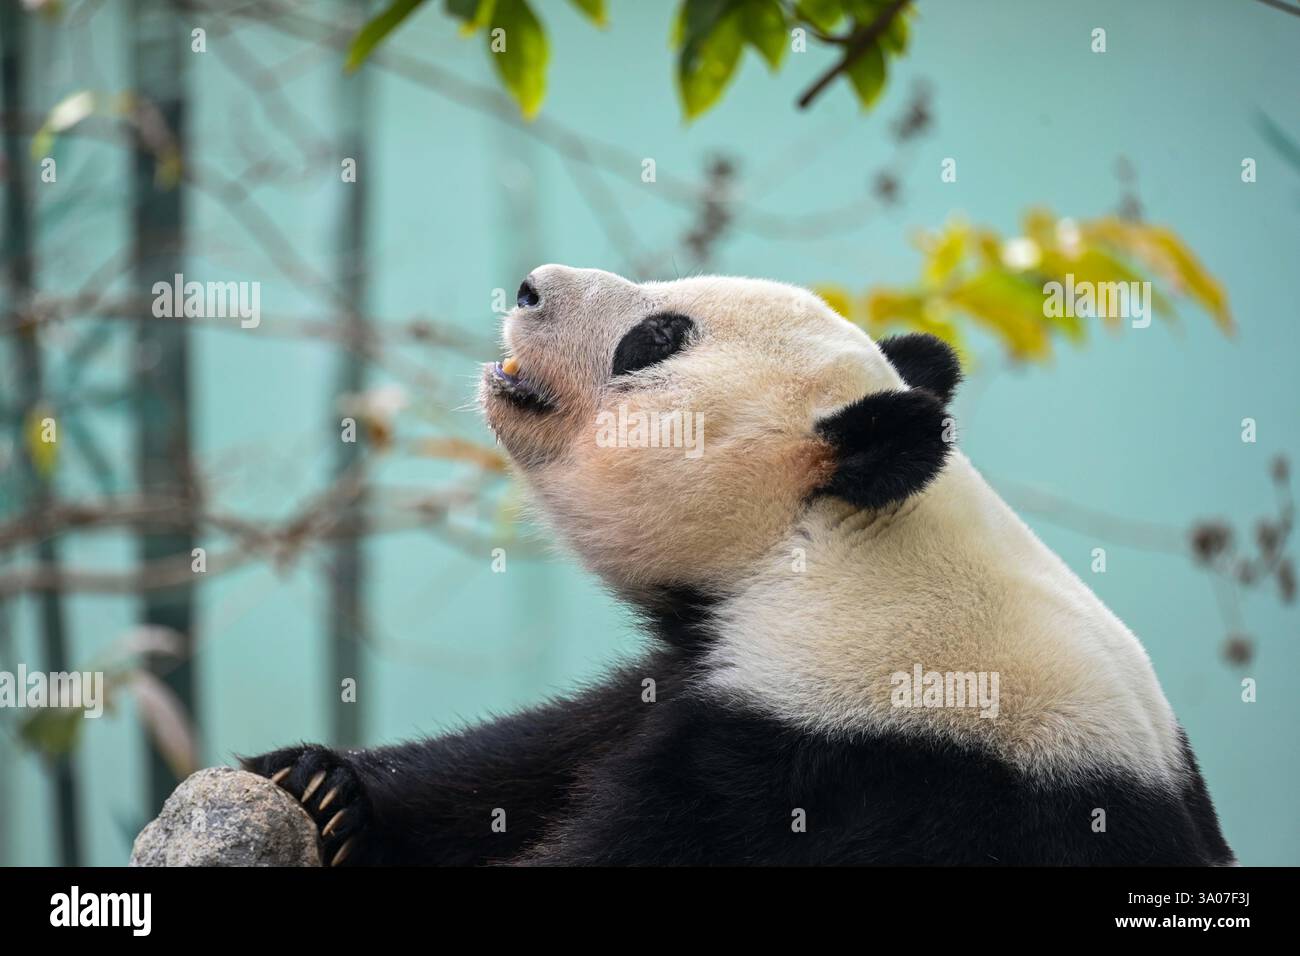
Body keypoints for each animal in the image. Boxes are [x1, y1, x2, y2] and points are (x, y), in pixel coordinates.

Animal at [245, 265, 1235, 866]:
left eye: (655, 337)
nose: (529, 285)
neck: (834, 547)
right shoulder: (705, 667)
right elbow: (524, 762)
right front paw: (318, 787)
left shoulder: (841, 763)